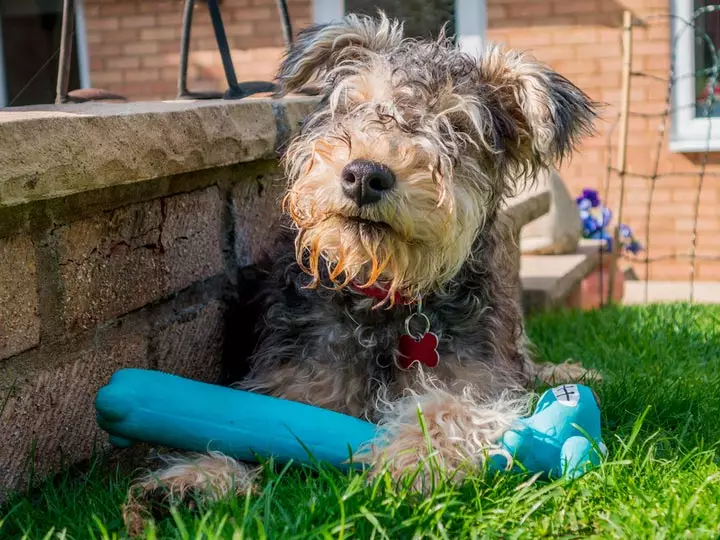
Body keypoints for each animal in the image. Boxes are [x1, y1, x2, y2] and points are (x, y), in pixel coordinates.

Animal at [122, 12, 596, 532]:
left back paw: (573, 372)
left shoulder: (479, 378)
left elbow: (451, 406)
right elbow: (235, 425)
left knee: (529, 365)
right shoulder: (289, 388)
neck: (380, 299)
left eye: (457, 126)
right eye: (356, 105)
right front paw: (192, 479)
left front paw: (412, 460)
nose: (366, 174)